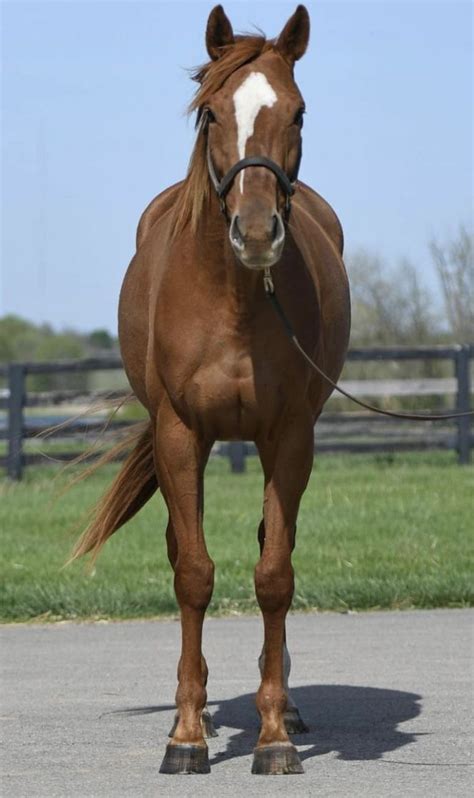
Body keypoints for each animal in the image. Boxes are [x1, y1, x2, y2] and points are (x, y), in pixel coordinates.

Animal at [72, 4, 350, 776]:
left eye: (298, 112)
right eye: (209, 114)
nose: (256, 233)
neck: (234, 299)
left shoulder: (290, 437)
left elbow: (274, 573)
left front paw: (275, 737)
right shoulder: (180, 434)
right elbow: (193, 573)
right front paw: (187, 737)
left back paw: (284, 705)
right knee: (179, 549)